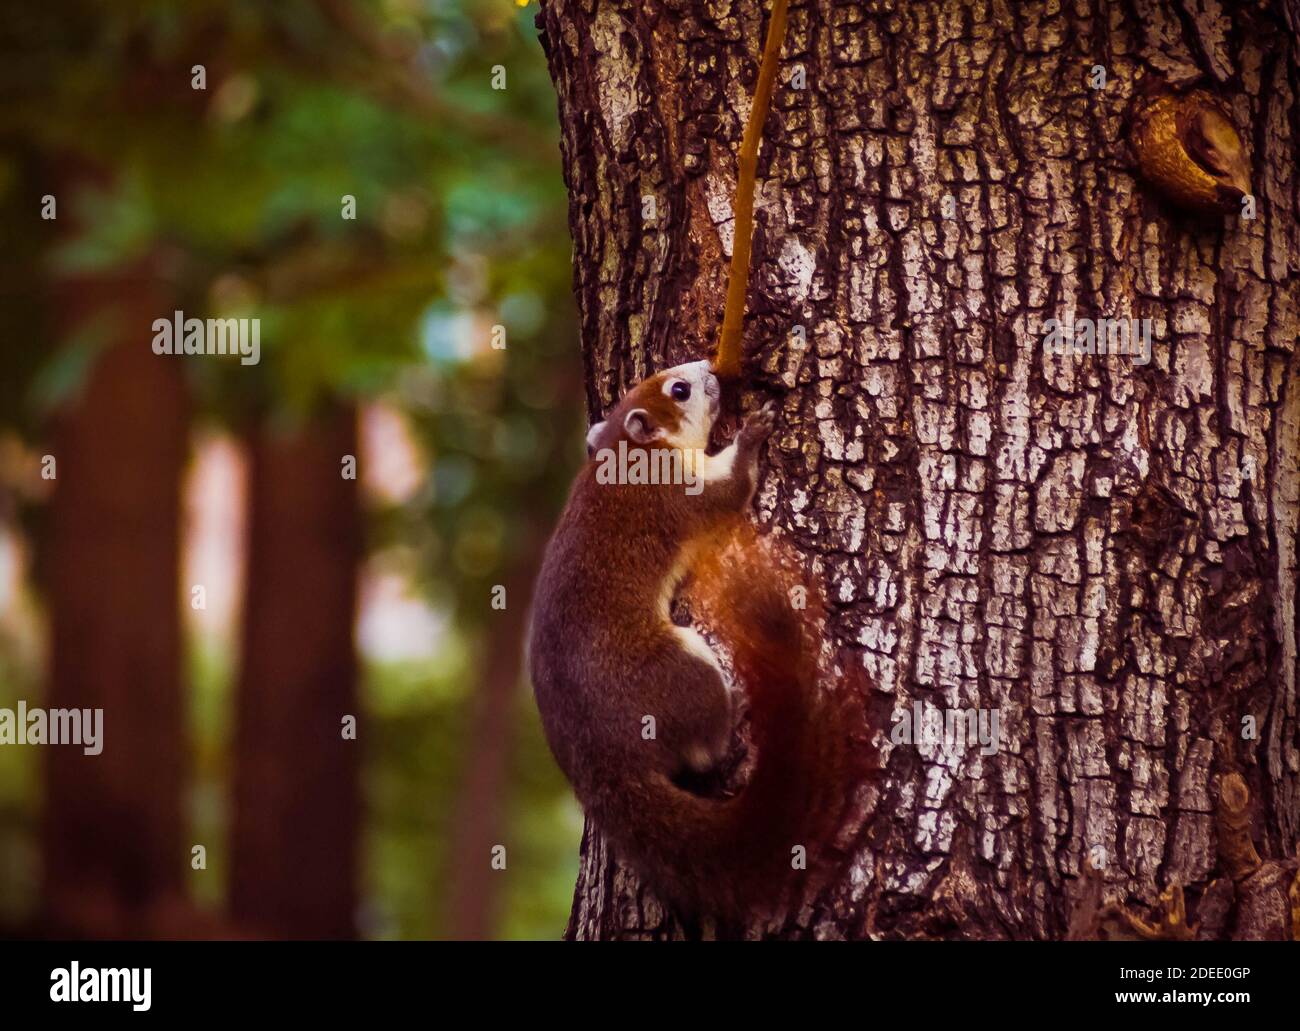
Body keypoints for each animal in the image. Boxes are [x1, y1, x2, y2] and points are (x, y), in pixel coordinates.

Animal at [528, 360, 851, 922]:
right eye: (678, 390)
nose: (707, 367)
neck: (626, 450)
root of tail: (602, 765)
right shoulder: (678, 495)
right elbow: (730, 492)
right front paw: (752, 435)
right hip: (682, 670)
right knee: (705, 747)